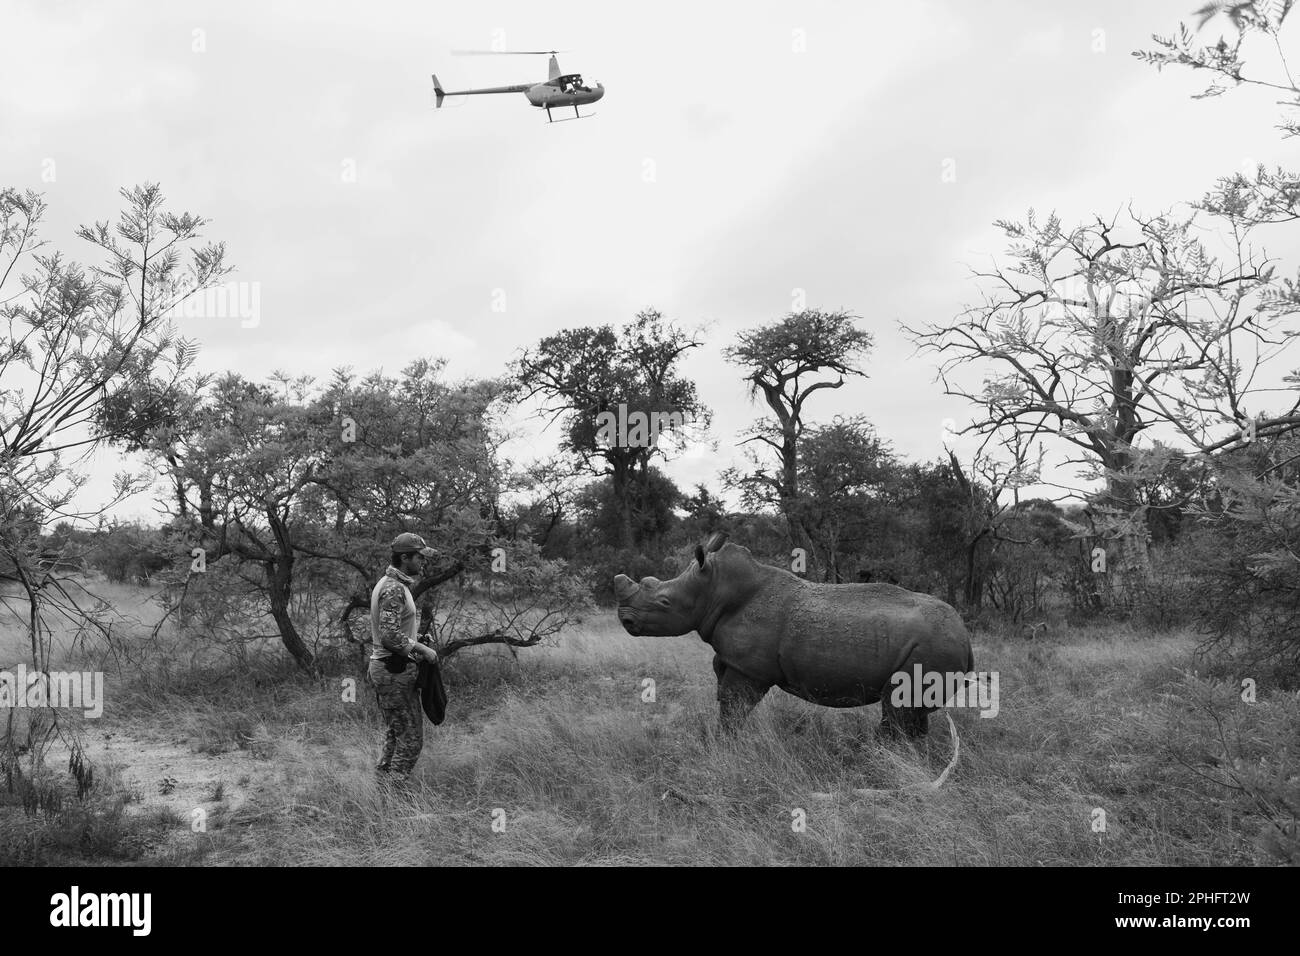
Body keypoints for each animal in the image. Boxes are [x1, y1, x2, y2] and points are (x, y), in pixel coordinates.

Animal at [613, 533, 974, 738]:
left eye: (664, 602)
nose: (624, 618)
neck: (714, 589)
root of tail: (967, 639)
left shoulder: (749, 669)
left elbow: (732, 709)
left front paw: (725, 746)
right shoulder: (731, 659)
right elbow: (724, 701)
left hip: (933, 646)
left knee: (899, 708)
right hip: (937, 645)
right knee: (914, 713)